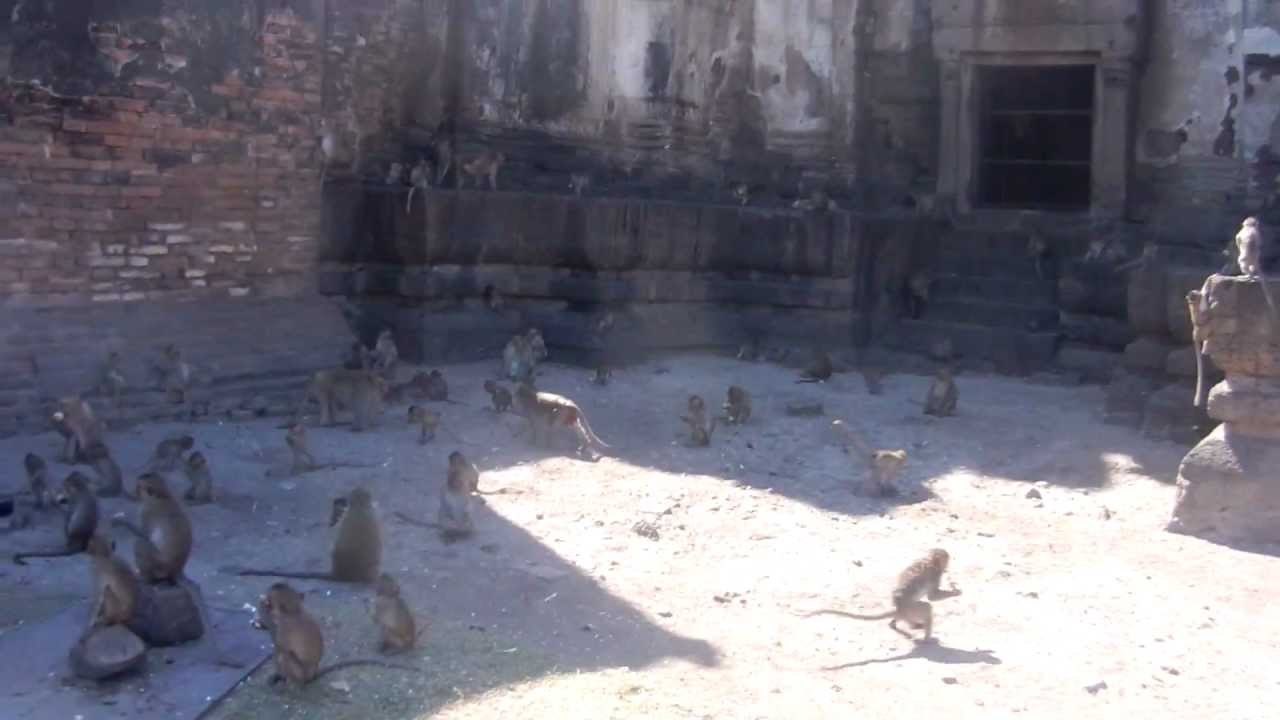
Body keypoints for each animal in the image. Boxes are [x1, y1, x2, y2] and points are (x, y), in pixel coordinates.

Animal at [256, 582, 418, 687]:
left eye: (271, 599)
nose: (266, 600)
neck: (294, 611)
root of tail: (313, 675)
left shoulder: (283, 627)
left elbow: (279, 646)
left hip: (300, 673)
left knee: (284, 656)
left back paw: (291, 683)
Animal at [798, 548, 959, 642]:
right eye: (946, 557)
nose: (949, 560)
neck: (930, 559)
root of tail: (899, 607)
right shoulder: (936, 575)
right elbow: (933, 597)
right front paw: (955, 591)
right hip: (912, 608)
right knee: (927, 607)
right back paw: (925, 635)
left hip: (906, 610)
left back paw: (896, 623)